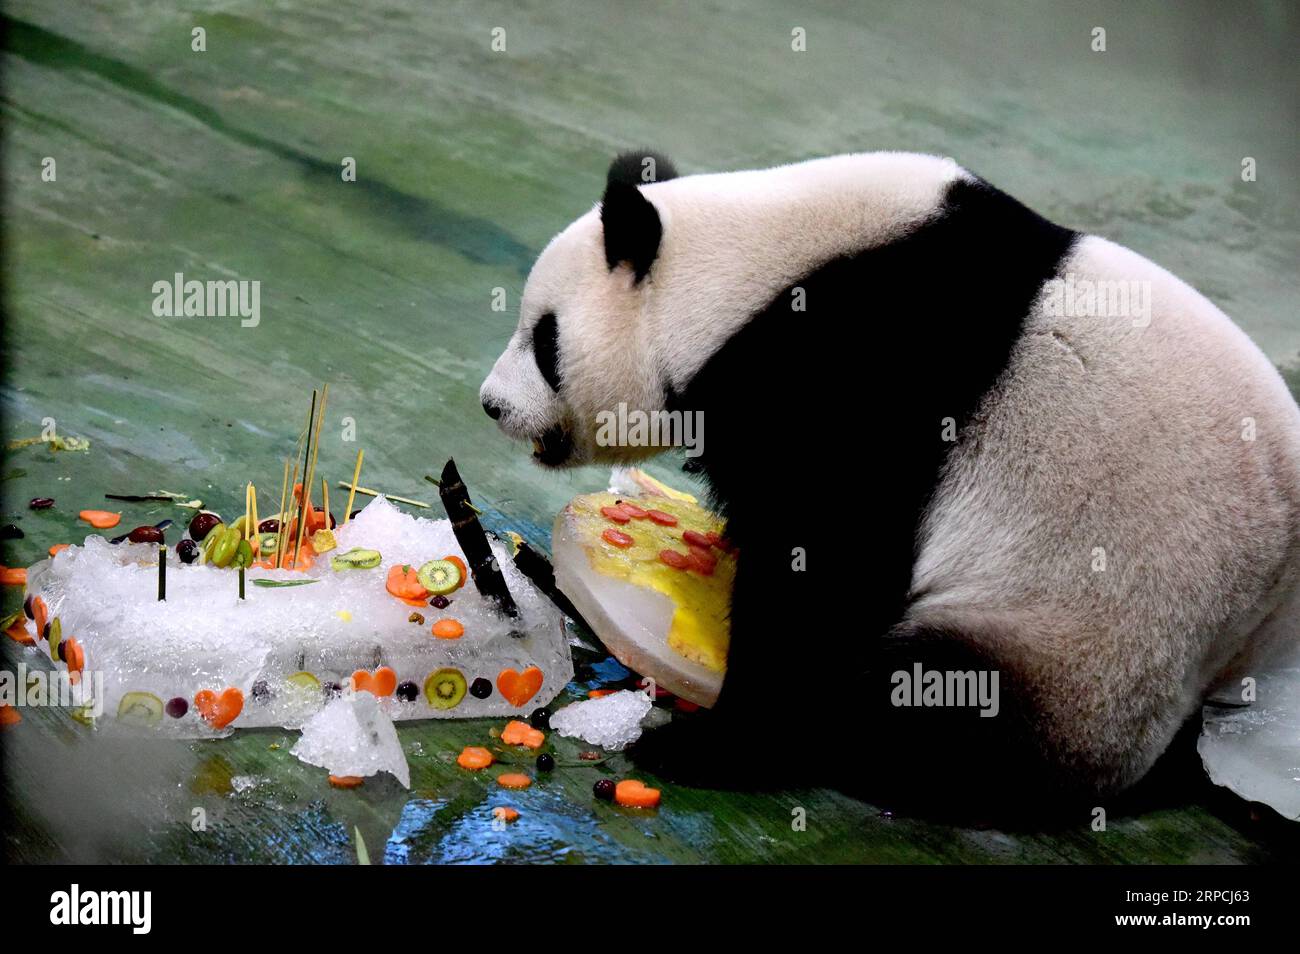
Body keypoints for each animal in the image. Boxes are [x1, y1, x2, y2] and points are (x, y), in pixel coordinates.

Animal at [480, 150, 1300, 807]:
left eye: (544, 338)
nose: (491, 404)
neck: (745, 277)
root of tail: (1248, 654)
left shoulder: (870, 373)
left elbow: (825, 571)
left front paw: (724, 741)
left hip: (1088, 636)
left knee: (934, 698)